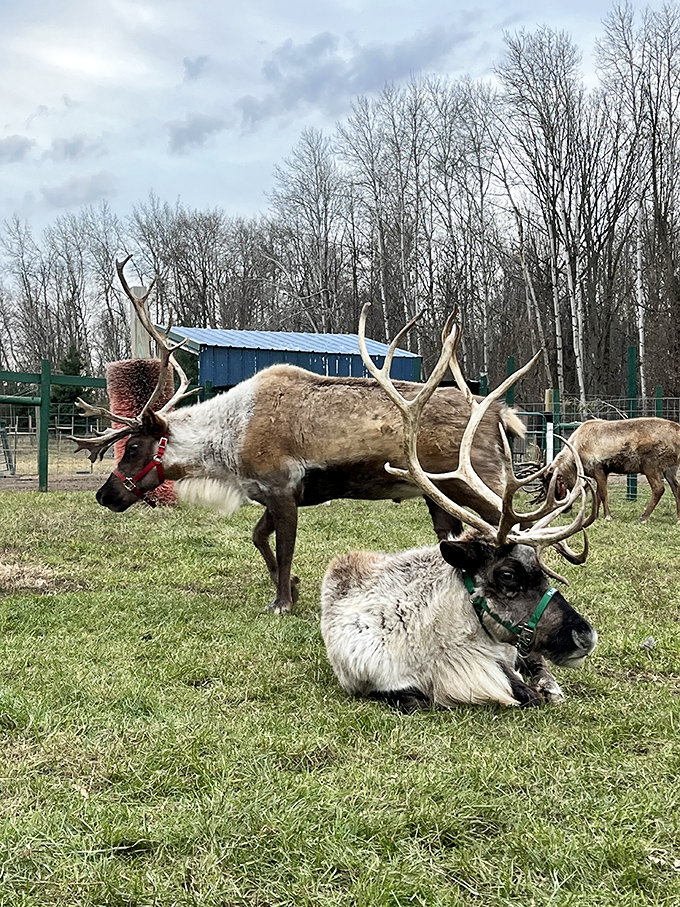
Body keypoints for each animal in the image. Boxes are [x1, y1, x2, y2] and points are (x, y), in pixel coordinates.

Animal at [74, 257, 580, 616]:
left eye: (133, 446)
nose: (104, 494)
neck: (229, 442)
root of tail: (501, 413)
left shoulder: (282, 489)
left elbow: (282, 546)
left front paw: (281, 601)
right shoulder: (274, 494)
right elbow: (259, 538)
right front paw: (294, 589)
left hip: (481, 481)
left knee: (527, 528)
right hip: (441, 495)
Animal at [321, 344, 597, 709]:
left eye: (542, 570)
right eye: (507, 575)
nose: (585, 634)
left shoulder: (503, 661)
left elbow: (525, 688)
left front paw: (541, 689)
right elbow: (414, 699)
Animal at [541, 417, 680, 523]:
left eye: (554, 486)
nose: (564, 510)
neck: (575, 458)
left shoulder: (598, 469)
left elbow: (603, 494)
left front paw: (607, 516)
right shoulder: (603, 472)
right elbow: (597, 494)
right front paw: (595, 515)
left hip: (650, 465)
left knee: (659, 488)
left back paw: (643, 517)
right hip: (670, 468)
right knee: (676, 487)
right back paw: (678, 519)